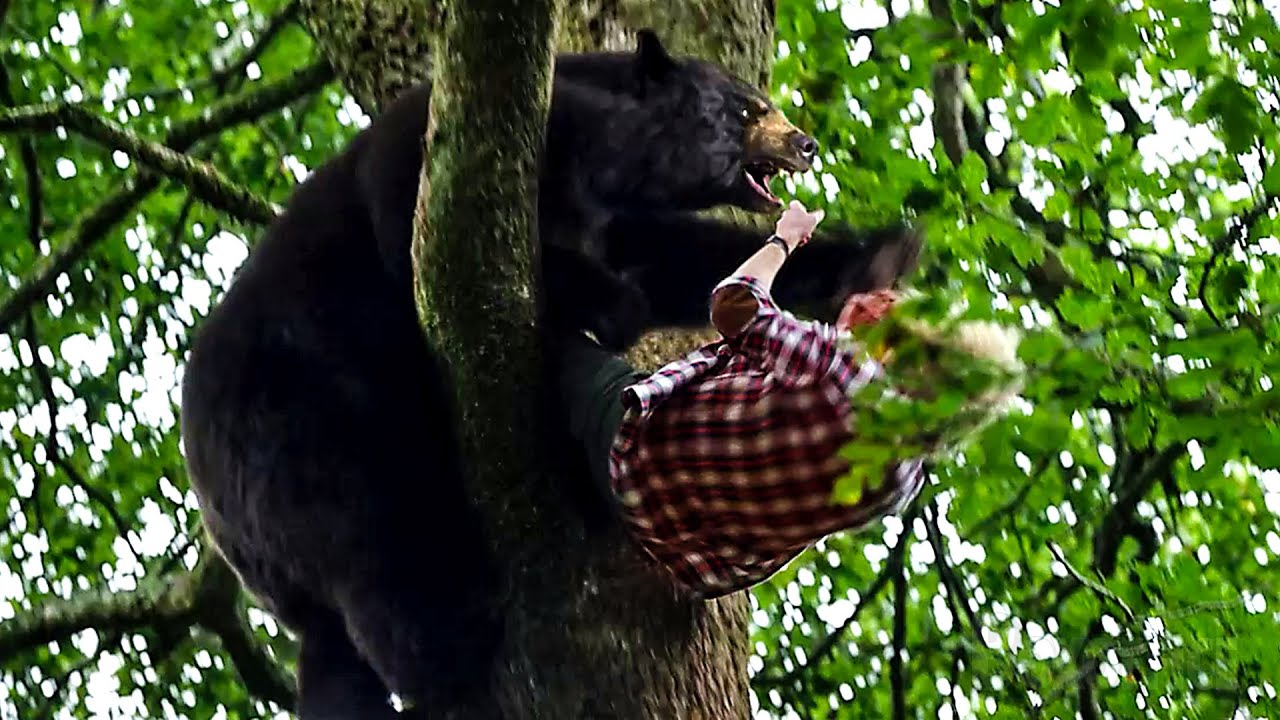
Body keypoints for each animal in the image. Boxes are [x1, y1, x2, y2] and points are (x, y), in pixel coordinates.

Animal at [179, 30, 920, 718]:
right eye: (746, 108)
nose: (806, 143)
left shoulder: (613, 212)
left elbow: (675, 252)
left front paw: (876, 254)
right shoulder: (442, 157)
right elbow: (418, 239)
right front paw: (606, 300)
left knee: (339, 646)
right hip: (305, 416)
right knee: (378, 525)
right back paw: (453, 635)